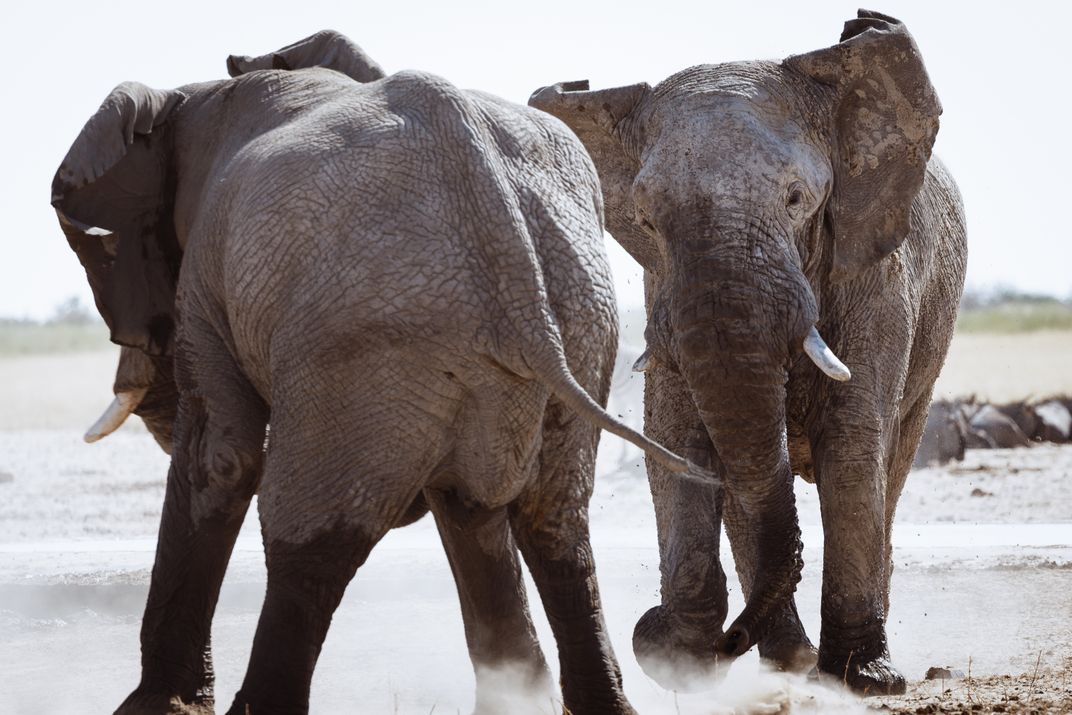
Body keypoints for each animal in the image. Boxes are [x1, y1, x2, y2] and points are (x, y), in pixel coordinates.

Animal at [55, 31, 713, 715]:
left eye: (102, 256)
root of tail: (491, 206)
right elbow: (465, 502)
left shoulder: (206, 279)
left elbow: (219, 458)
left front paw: (155, 707)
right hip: (573, 318)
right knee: (546, 524)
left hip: (362, 339)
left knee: (311, 544)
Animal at [530, 10, 967, 694]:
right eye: (646, 219)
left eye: (795, 199)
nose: (650, 626)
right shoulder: (665, 288)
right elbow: (680, 435)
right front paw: (680, 654)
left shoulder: (878, 277)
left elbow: (852, 438)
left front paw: (863, 679)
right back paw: (787, 660)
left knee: (891, 464)